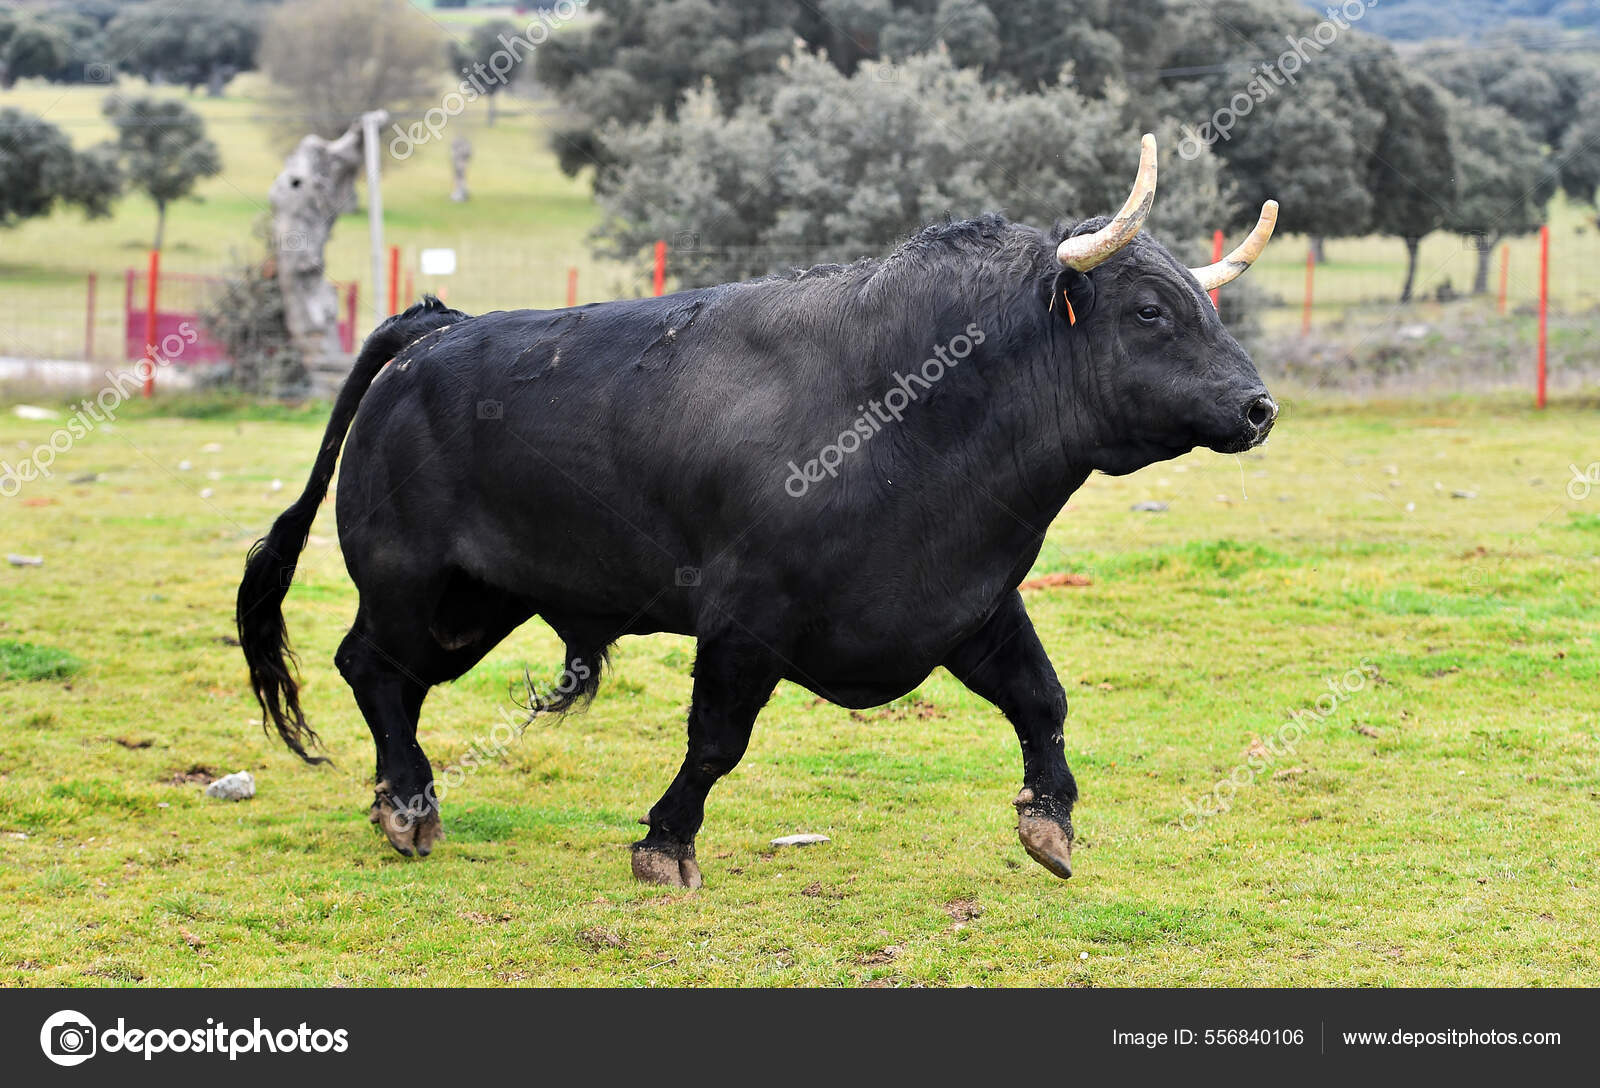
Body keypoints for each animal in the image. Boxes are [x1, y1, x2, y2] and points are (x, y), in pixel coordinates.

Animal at [237, 134, 1280, 887]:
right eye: (1149, 310)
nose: (1259, 406)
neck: (910, 406)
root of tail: (436, 330)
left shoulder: (966, 603)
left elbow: (1043, 699)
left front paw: (1051, 820)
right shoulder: (745, 620)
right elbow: (715, 742)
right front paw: (665, 843)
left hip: (477, 603)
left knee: (397, 681)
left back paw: (403, 798)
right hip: (411, 581)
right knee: (368, 665)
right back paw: (408, 807)